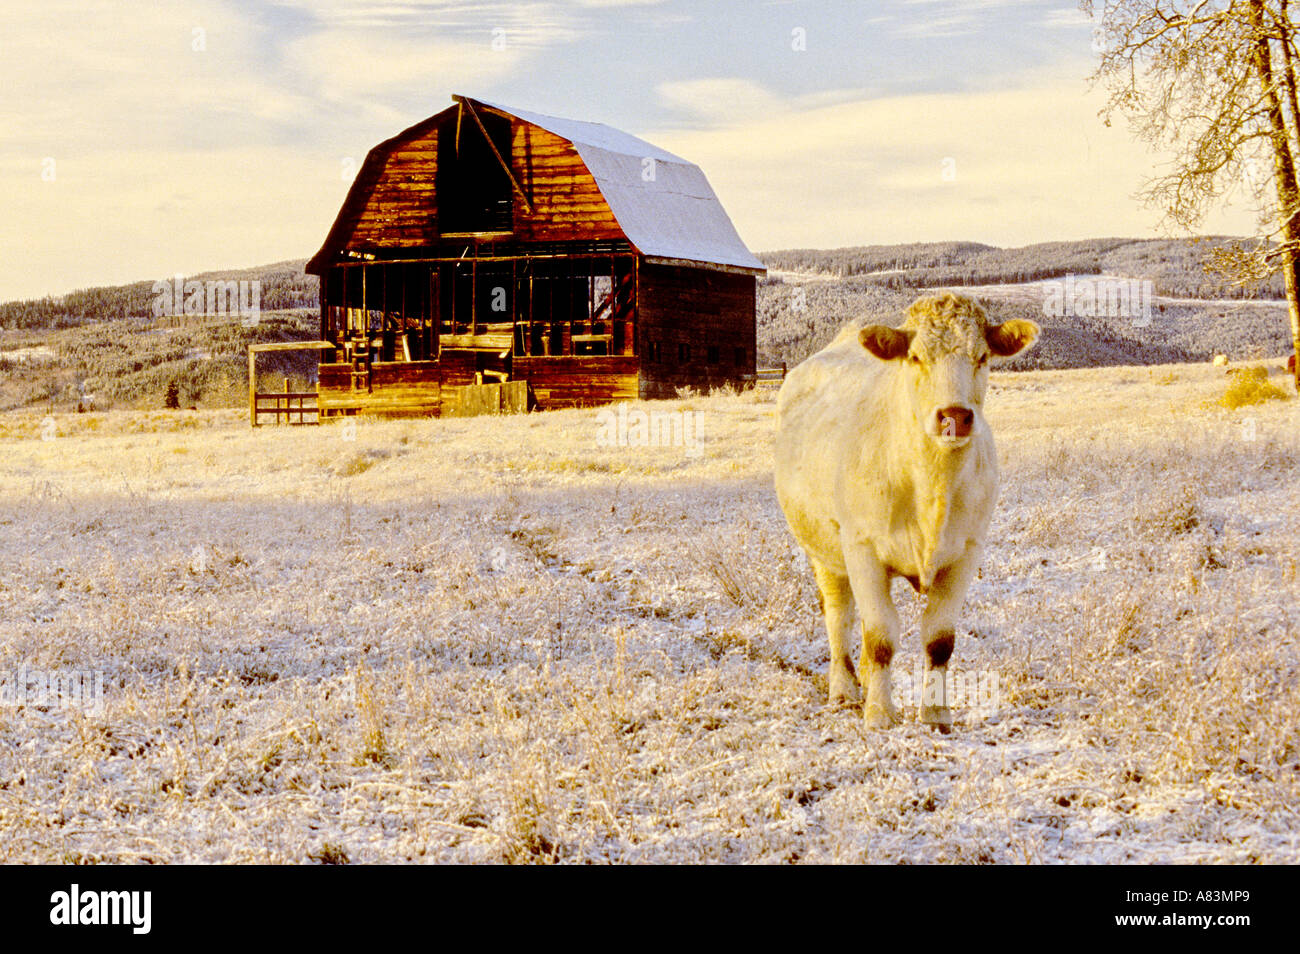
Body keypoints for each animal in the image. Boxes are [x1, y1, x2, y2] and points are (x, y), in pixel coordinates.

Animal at [775, 292, 1038, 730]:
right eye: (915, 357)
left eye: (982, 356)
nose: (954, 417)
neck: (932, 484)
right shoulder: (861, 548)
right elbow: (880, 635)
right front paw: (880, 714)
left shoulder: (967, 552)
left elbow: (939, 639)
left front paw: (935, 714)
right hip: (824, 551)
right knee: (839, 616)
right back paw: (844, 688)